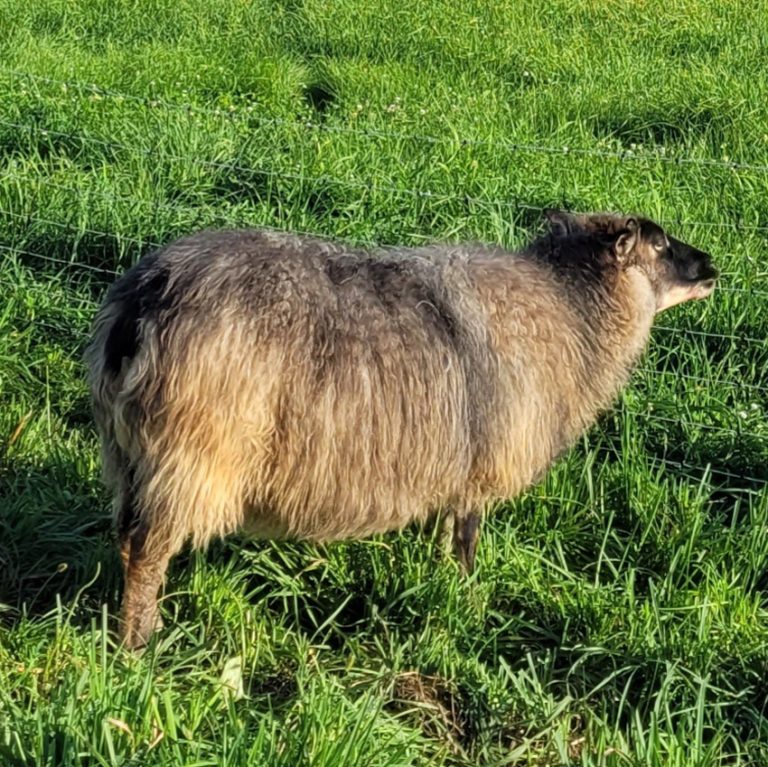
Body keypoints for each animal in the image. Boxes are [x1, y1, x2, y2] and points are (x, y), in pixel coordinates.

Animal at [85, 211, 718, 648]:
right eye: (660, 245)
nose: (712, 265)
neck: (572, 312)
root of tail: (143, 304)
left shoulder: (455, 462)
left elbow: (442, 532)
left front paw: (435, 579)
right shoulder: (481, 468)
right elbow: (466, 540)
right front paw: (465, 598)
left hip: (130, 453)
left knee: (125, 536)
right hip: (190, 456)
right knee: (145, 550)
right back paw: (140, 644)